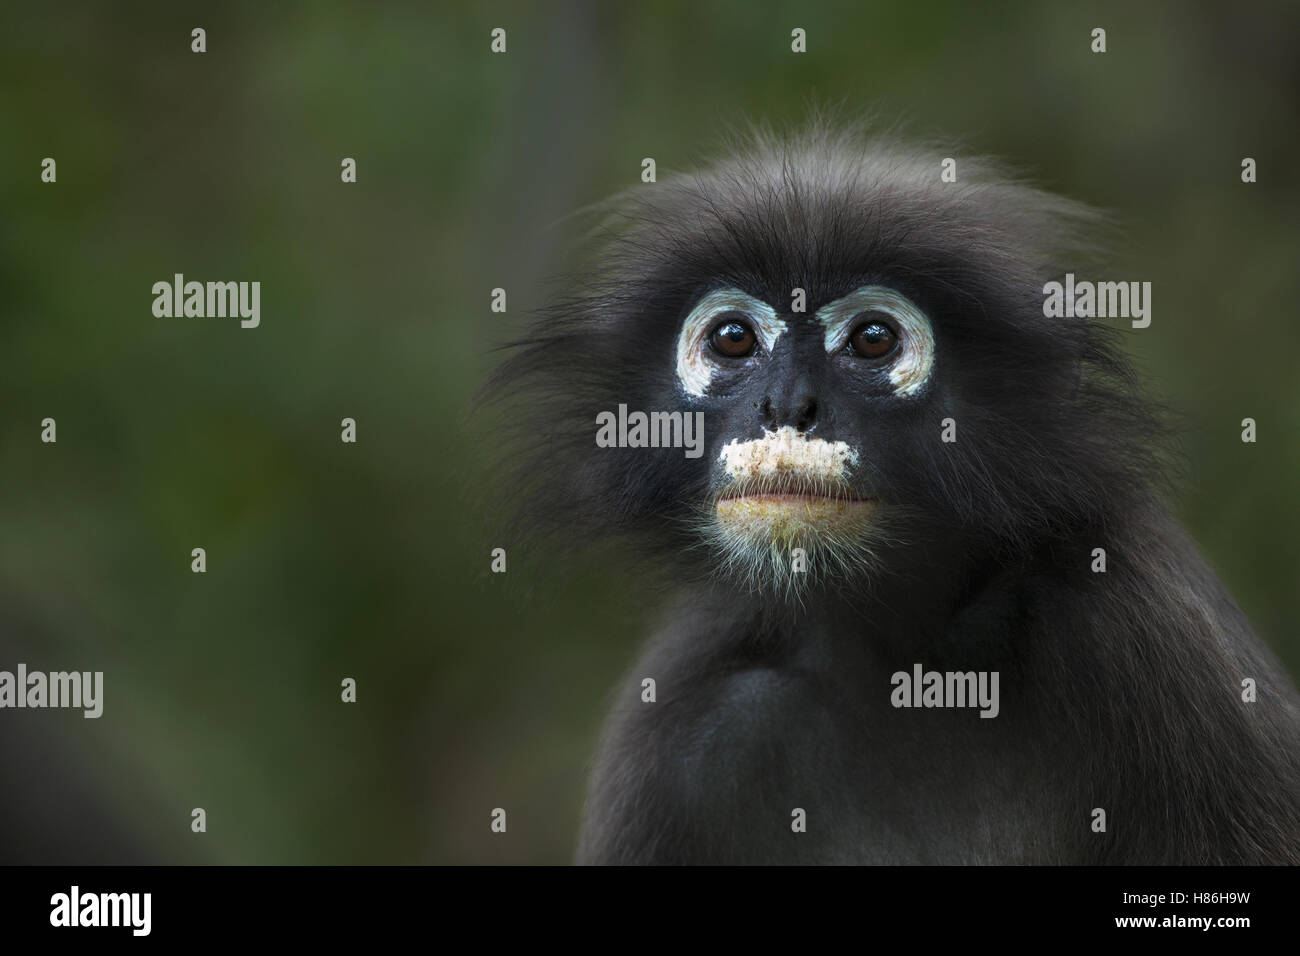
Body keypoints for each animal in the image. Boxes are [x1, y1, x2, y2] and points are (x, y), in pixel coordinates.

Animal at [483, 120, 1300, 865]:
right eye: (733, 339)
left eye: (873, 339)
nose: (787, 406)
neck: (901, 658)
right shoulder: (673, 732)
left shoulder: (1140, 621)